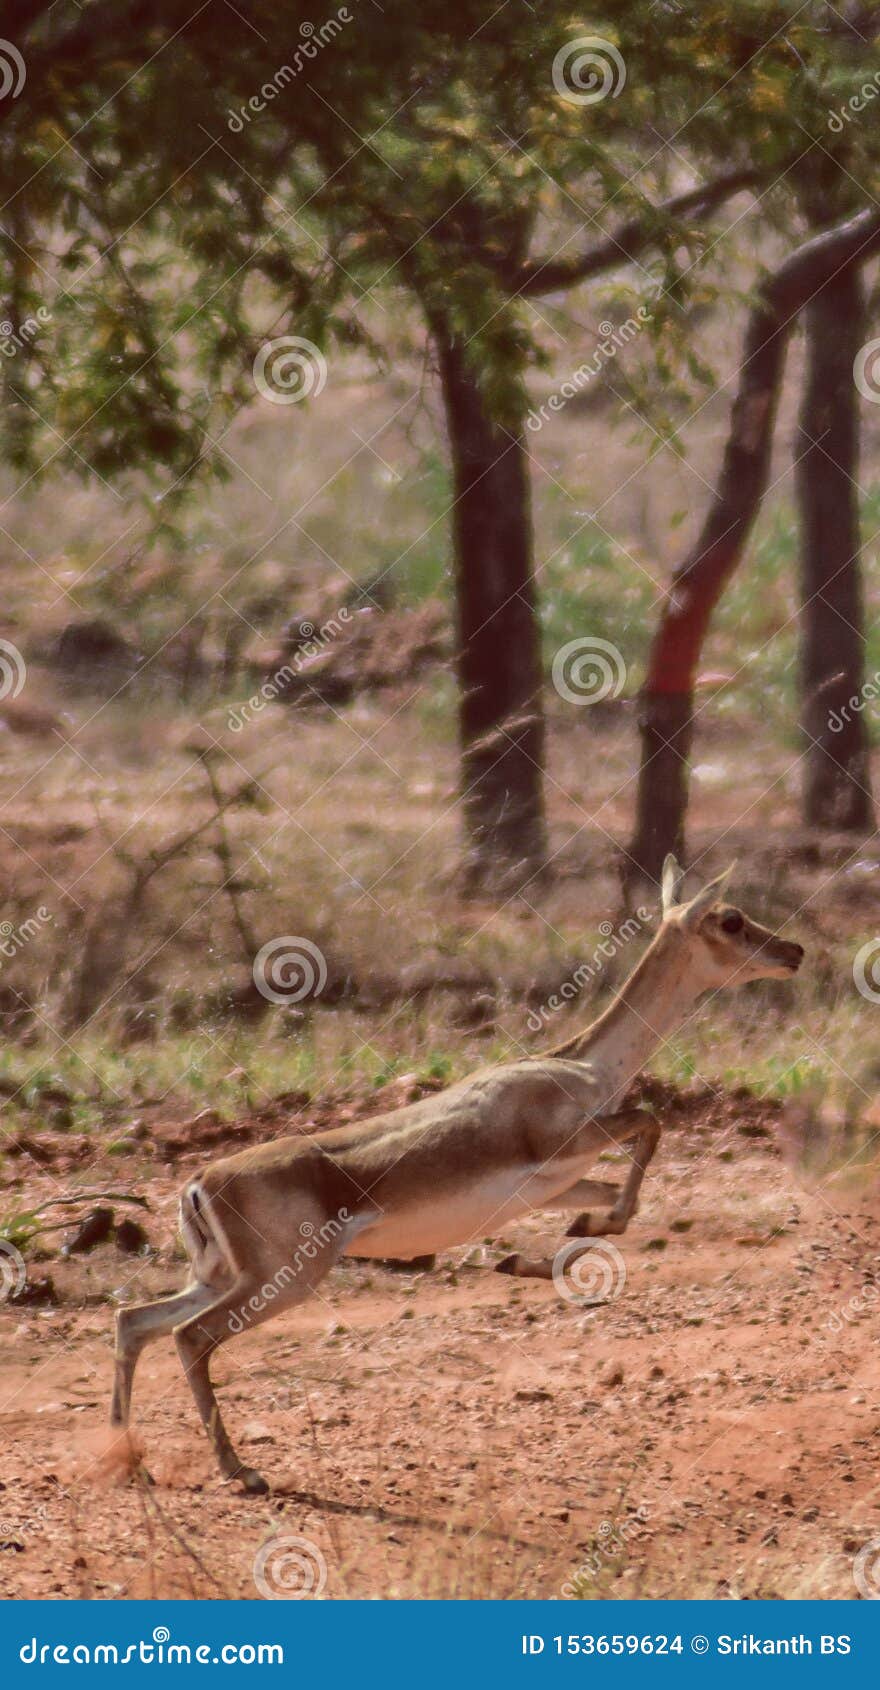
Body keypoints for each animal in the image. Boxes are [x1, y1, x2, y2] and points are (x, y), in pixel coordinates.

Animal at [110, 856, 803, 1494]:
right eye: (730, 918)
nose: (793, 951)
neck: (582, 1069)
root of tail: (200, 1183)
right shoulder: (574, 1141)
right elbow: (651, 1126)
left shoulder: (555, 1185)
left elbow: (611, 1212)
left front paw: (532, 1256)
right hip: (281, 1280)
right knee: (191, 1337)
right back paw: (241, 1471)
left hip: (218, 1276)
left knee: (135, 1322)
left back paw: (126, 1458)